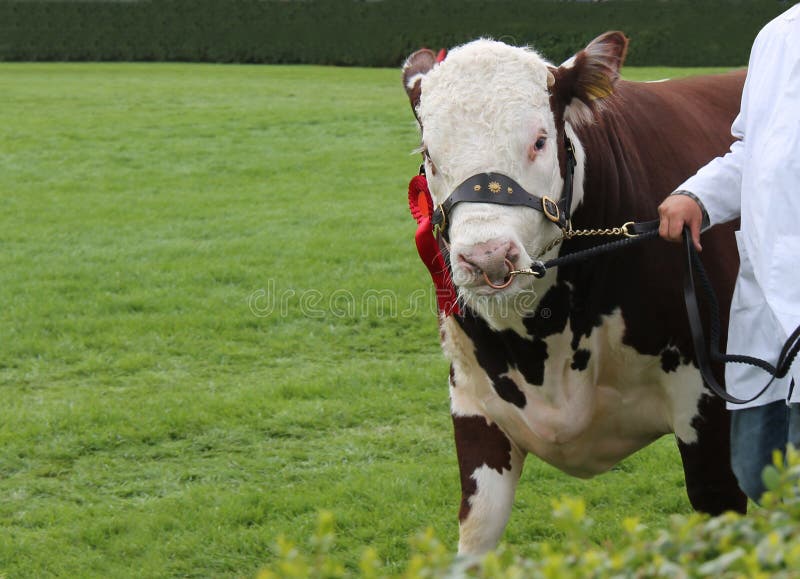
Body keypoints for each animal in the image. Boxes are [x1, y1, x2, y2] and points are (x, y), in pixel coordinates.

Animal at [401, 32, 748, 555]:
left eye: (540, 140)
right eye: (429, 153)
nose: (486, 257)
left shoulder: (711, 407)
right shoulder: (475, 404)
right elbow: (478, 529)